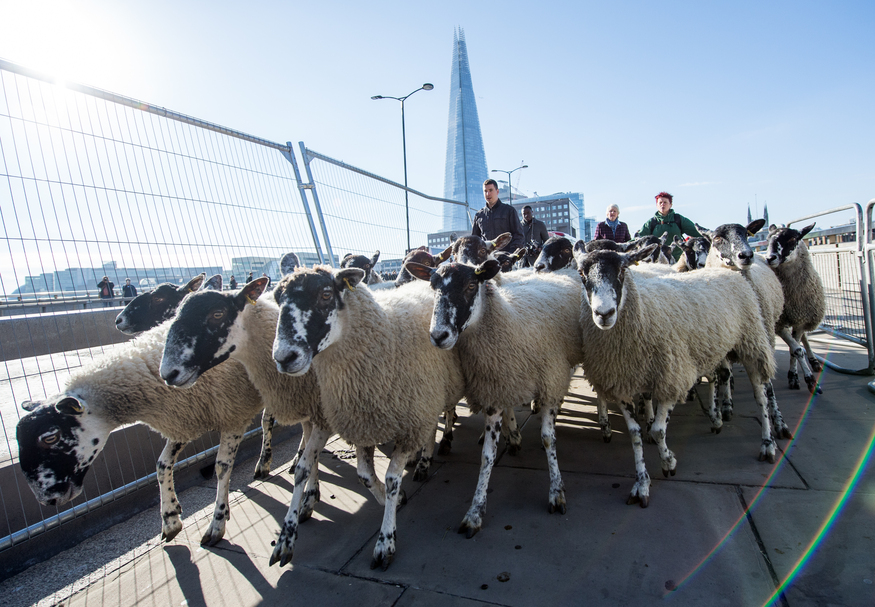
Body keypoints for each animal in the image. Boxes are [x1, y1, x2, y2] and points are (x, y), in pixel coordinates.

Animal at [15, 322, 266, 546]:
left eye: (50, 437)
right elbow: (162, 465)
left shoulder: (234, 414)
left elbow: (222, 468)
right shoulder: (183, 418)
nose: (48, 500)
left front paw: (217, 523)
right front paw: (170, 519)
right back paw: (264, 464)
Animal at [270, 266, 465, 570]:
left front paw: (386, 540)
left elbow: (392, 478)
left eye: (326, 294)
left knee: (441, 417)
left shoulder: (410, 420)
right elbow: (363, 475)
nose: (283, 358)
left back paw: (430, 453)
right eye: (278, 300)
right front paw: (390, 500)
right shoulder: (362, 421)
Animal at [407, 259, 583, 537]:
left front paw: (556, 491)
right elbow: (487, 456)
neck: (510, 321)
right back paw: (514, 437)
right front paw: (475, 512)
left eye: (471, 285)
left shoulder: (551, 380)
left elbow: (548, 439)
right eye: (432, 286)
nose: (438, 336)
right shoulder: (494, 388)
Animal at [572, 243, 783, 506]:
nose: (604, 313)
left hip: (751, 340)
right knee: (716, 378)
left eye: (622, 270)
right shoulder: (622, 384)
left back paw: (767, 444)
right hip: (708, 350)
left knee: (760, 395)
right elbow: (634, 434)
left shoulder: (672, 377)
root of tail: (727, 270)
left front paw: (669, 463)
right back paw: (716, 419)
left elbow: (657, 430)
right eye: (581, 273)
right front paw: (642, 483)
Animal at [764, 223, 827, 389]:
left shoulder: (801, 320)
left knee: (805, 338)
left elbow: (796, 349)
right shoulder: (779, 323)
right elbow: (796, 349)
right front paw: (802, 378)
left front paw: (797, 376)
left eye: (792, 239)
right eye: (768, 239)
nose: (770, 258)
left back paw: (814, 361)